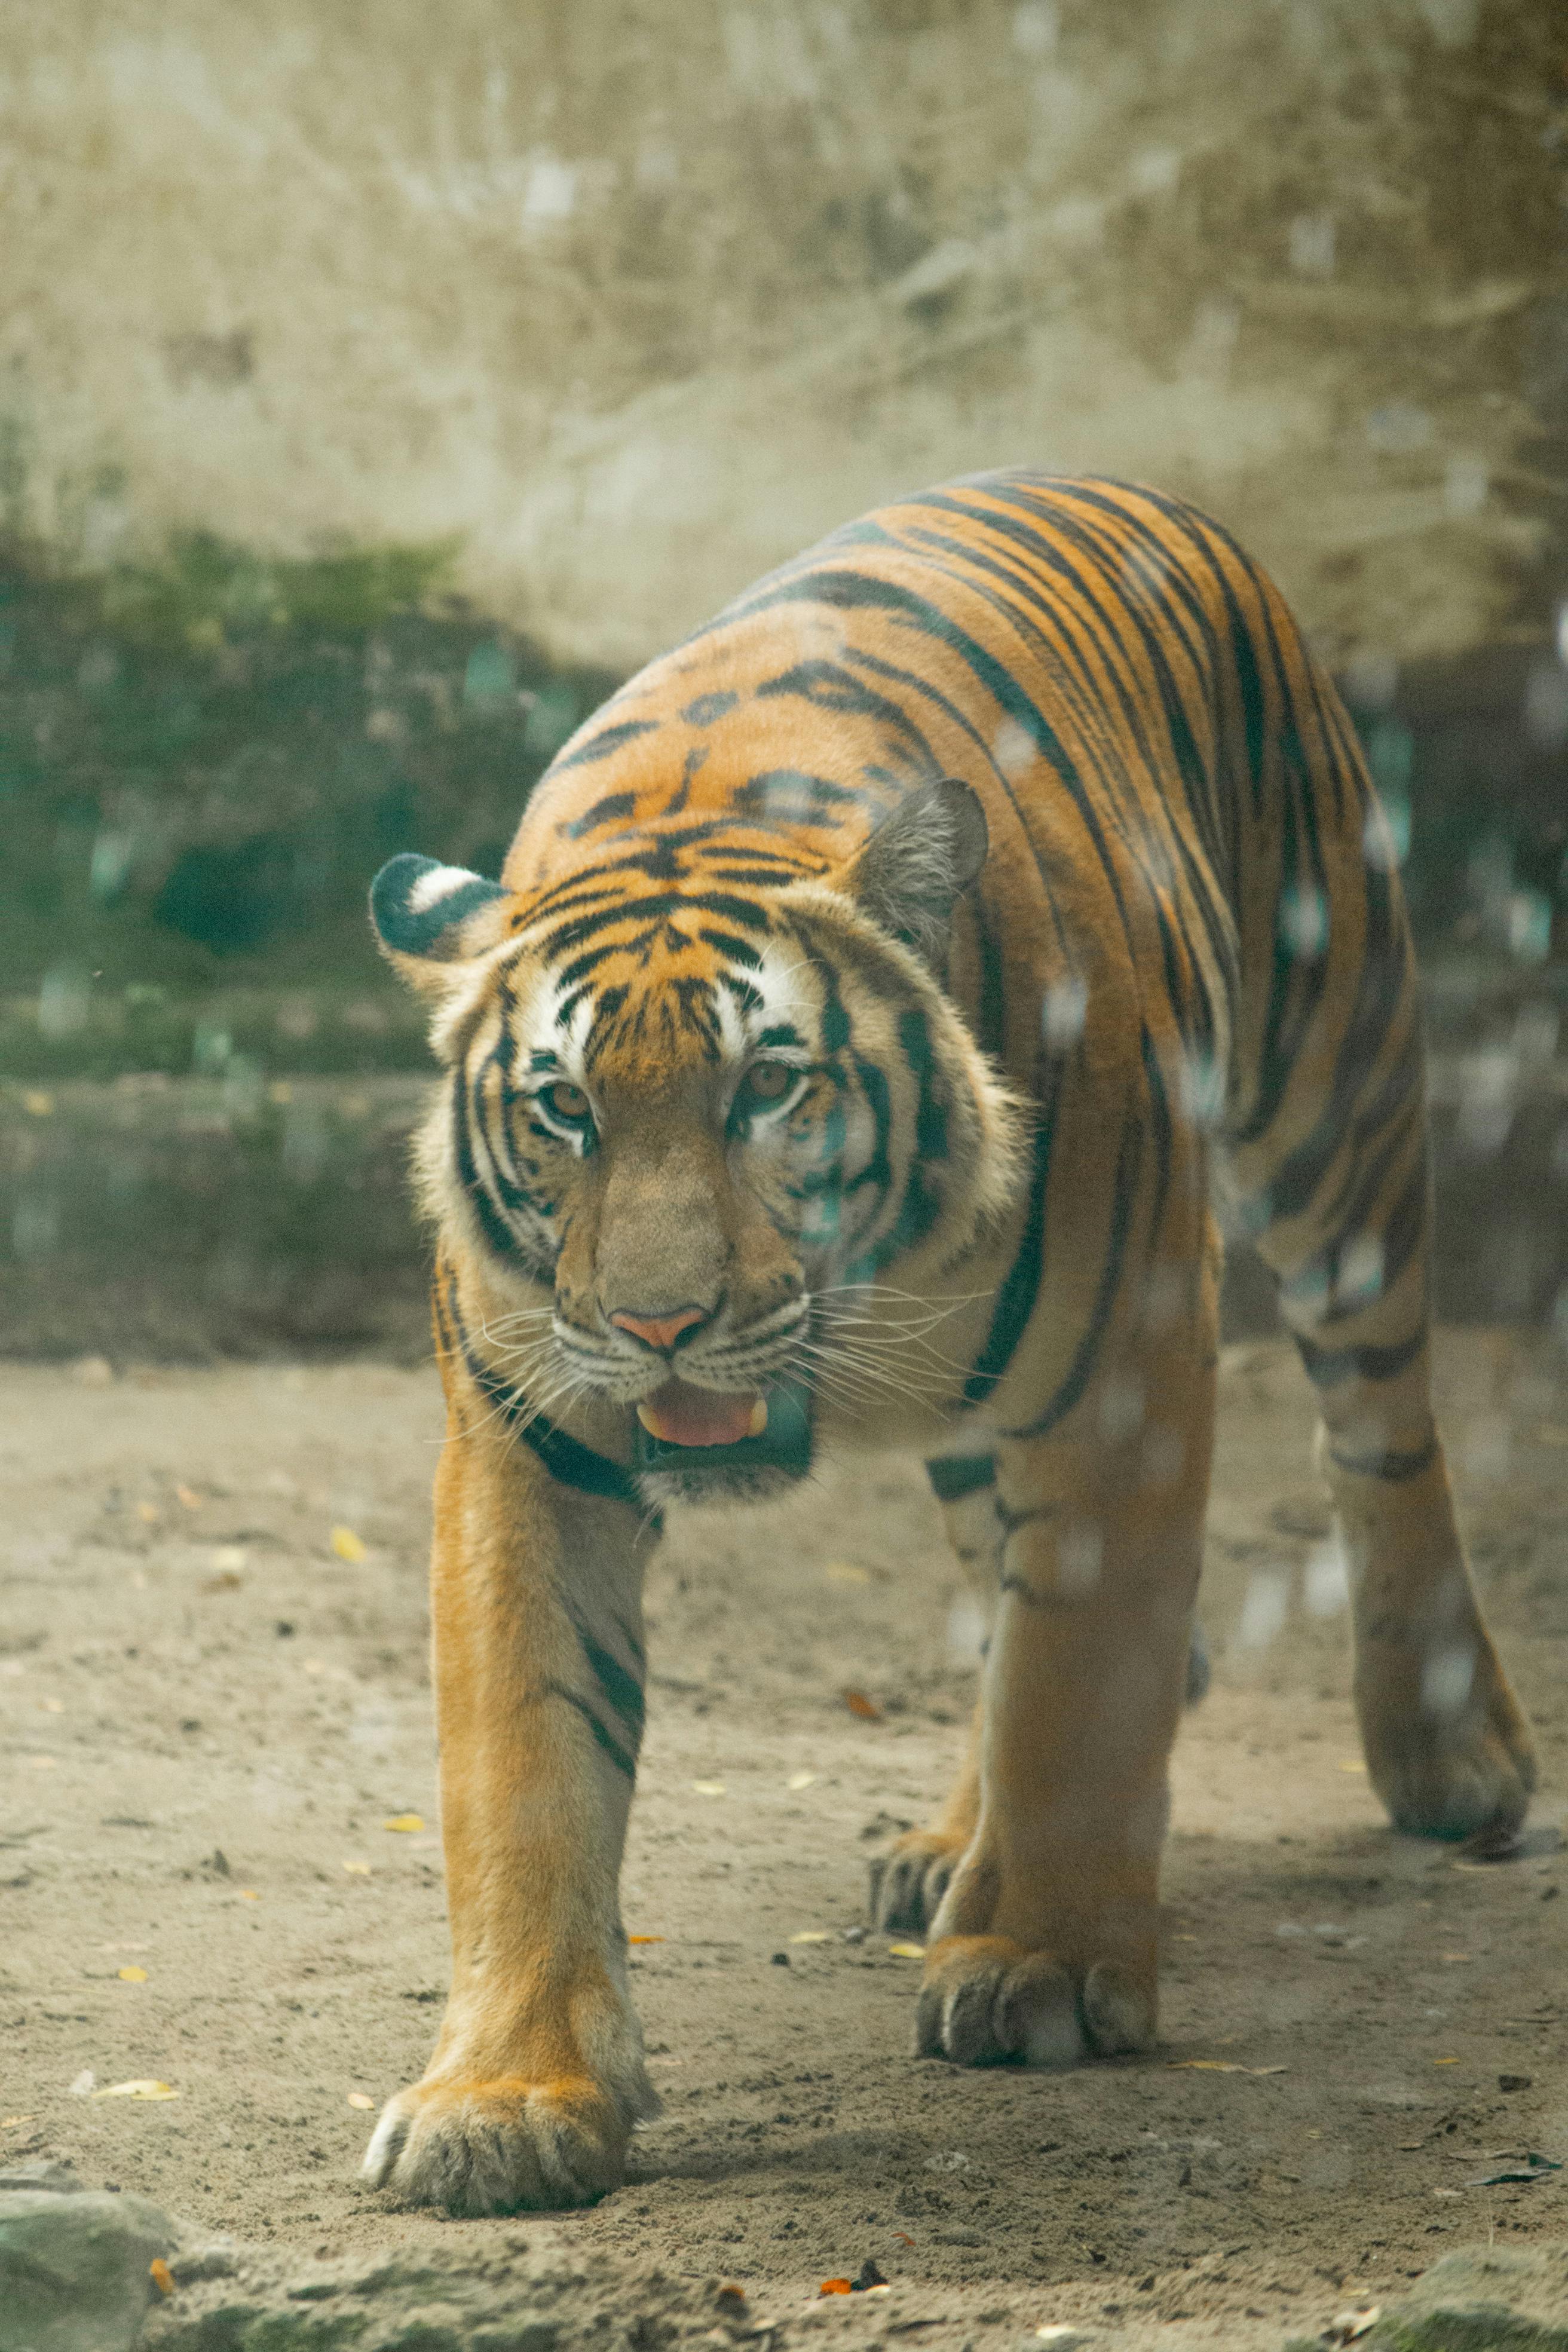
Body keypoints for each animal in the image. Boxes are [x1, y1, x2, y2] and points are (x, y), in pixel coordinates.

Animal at [360, 470, 1533, 2218]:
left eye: (767, 1087)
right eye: (563, 1107)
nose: (656, 1324)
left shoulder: (1127, 1381)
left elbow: (1077, 1683)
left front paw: (1039, 1968)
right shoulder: (527, 1429)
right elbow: (525, 1763)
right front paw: (504, 2096)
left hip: (1338, 1104)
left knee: (1380, 1431)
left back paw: (1450, 1755)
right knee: (1003, 1568)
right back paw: (940, 1855)